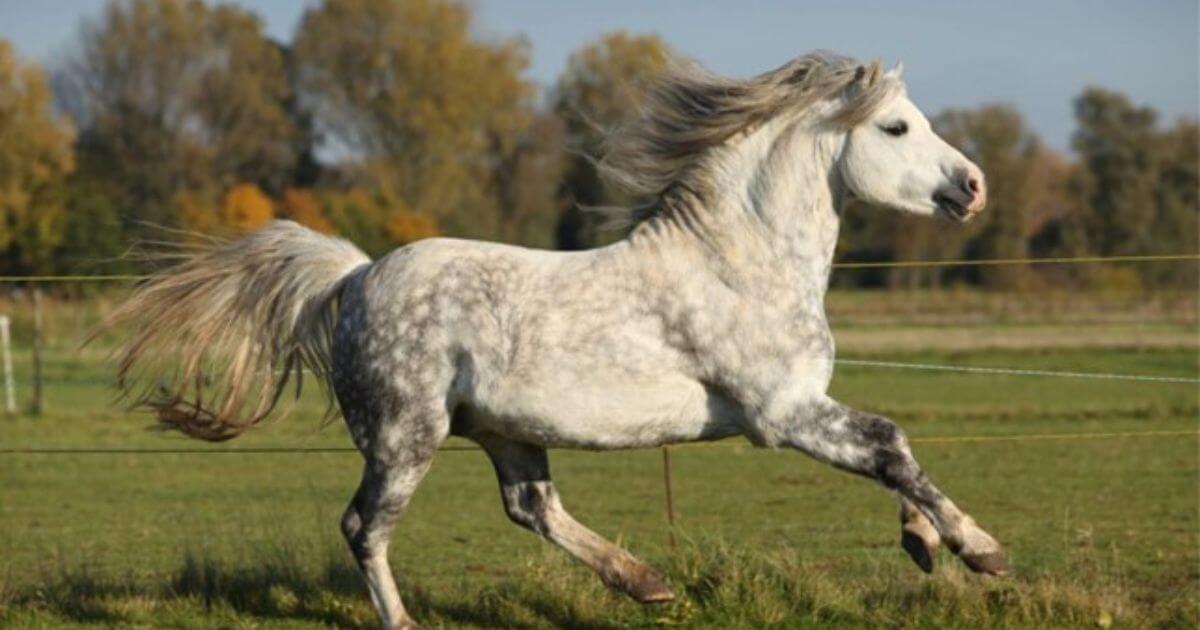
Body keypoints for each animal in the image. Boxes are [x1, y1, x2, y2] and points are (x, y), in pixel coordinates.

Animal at [107, 51, 1008, 629]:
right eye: (896, 129)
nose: (972, 187)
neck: (739, 261)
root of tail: (355, 278)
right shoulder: (781, 414)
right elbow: (891, 443)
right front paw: (980, 551)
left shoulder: (805, 406)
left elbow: (891, 449)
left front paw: (923, 544)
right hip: (405, 437)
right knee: (365, 528)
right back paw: (407, 623)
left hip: (506, 431)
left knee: (531, 508)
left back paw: (645, 583)